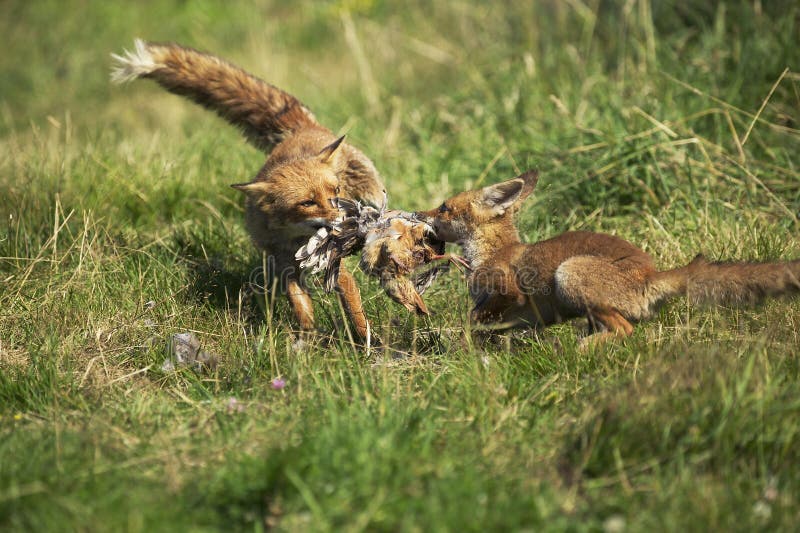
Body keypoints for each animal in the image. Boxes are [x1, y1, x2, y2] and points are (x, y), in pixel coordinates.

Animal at [111, 39, 386, 339]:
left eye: (335, 193)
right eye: (307, 203)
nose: (345, 221)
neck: (295, 240)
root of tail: (299, 130)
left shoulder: (335, 264)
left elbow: (354, 306)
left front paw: (367, 340)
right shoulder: (283, 263)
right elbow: (300, 306)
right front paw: (308, 338)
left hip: (371, 188)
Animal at [419, 170, 800, 347]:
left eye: (444, 208)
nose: (420, 215)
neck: (491, 252)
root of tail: (650, 274)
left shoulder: (510, 293)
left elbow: (471, 318)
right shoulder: (518, 318)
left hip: (569, 274)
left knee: (625, 330)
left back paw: (581, 347)